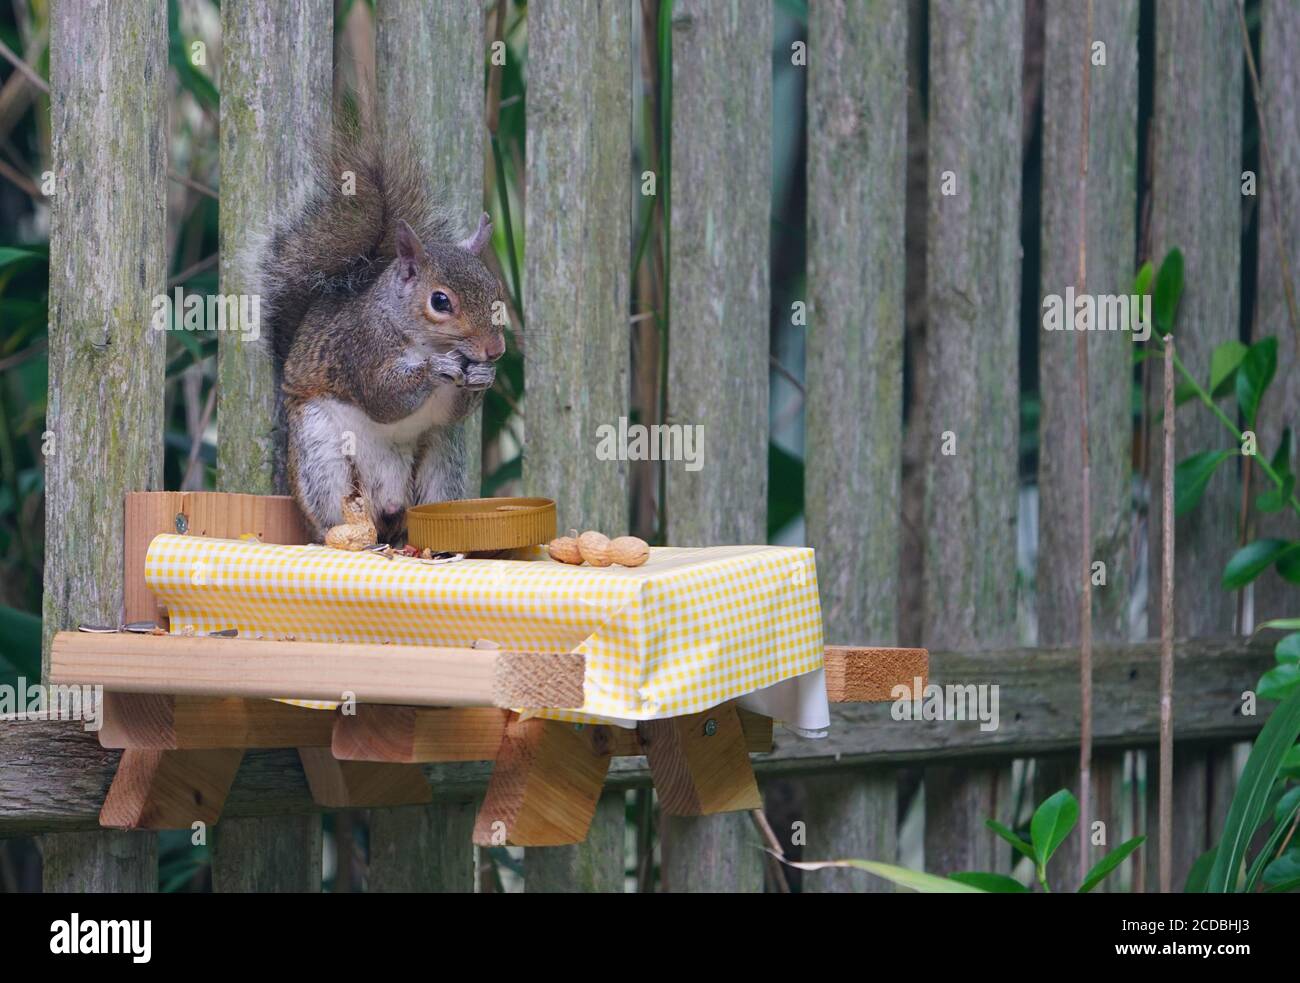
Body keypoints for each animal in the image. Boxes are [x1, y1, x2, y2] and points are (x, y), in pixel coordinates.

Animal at [251, 121, 505, 544]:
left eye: (496, 290)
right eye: (440, 301)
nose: (495, 350)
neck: (422, 340)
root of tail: (386, 503)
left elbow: (454, 410)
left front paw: (484, 376)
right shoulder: (362, 348)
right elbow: (382, 397)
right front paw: (435, 369)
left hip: (439, 459)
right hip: (321, 455)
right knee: (328, 508)